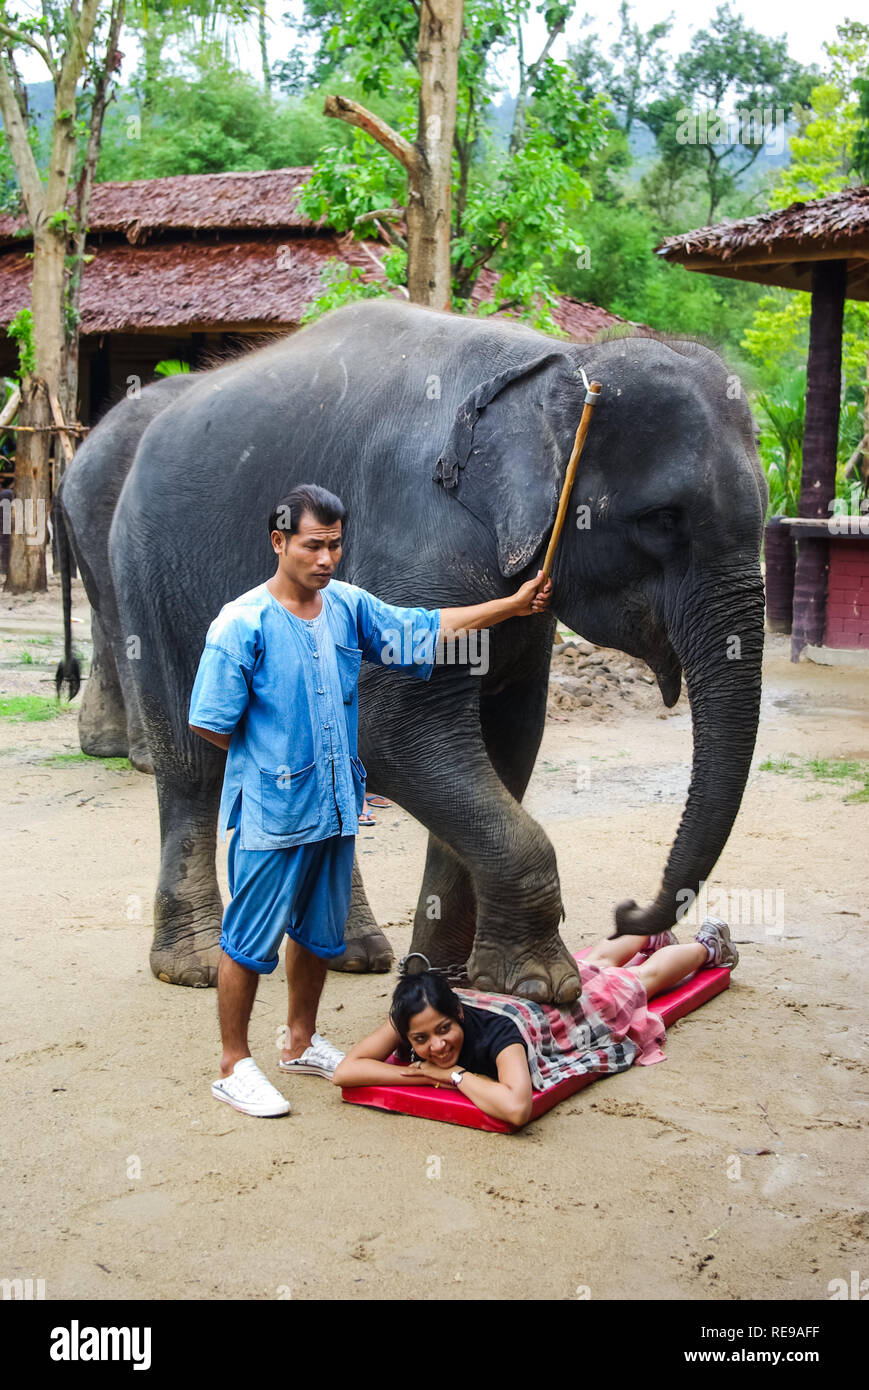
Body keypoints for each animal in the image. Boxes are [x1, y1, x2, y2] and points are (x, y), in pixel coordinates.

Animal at [63, 298, 767, 1002]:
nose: (631, 914)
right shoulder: (420, 531)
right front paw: (543, 986)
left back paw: (353, 954)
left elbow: (509, 738)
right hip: (146, 573)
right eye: (663, 520)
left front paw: (450, 979)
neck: (564, 359)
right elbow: (395, 733)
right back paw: (197, 967)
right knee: (192, 764)